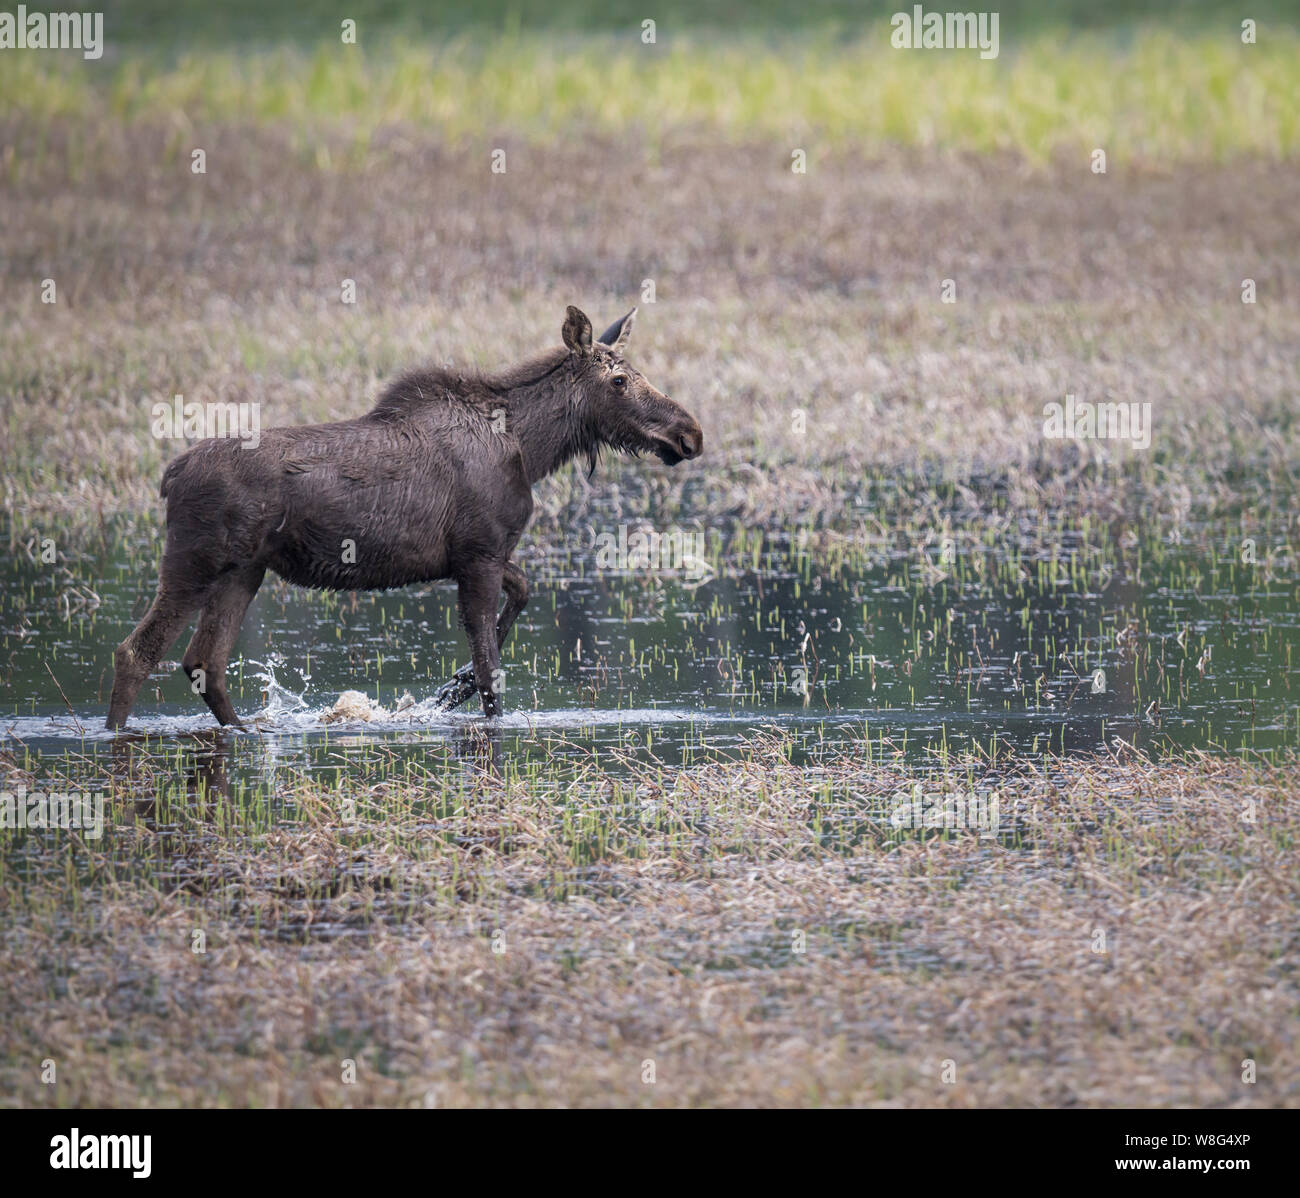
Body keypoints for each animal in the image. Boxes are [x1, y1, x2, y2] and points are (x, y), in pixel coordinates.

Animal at [105, 306, 703, 729]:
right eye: (619, 381)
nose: (690, 433)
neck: (530, 450)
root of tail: (170, 476)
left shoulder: (478, 554)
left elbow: (521, 596)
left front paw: (450, 688)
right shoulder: (479, 554)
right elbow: (491, 670)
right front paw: (461, 692)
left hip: (244, 570)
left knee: (204, 663)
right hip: (194, 561)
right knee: (137, 652)